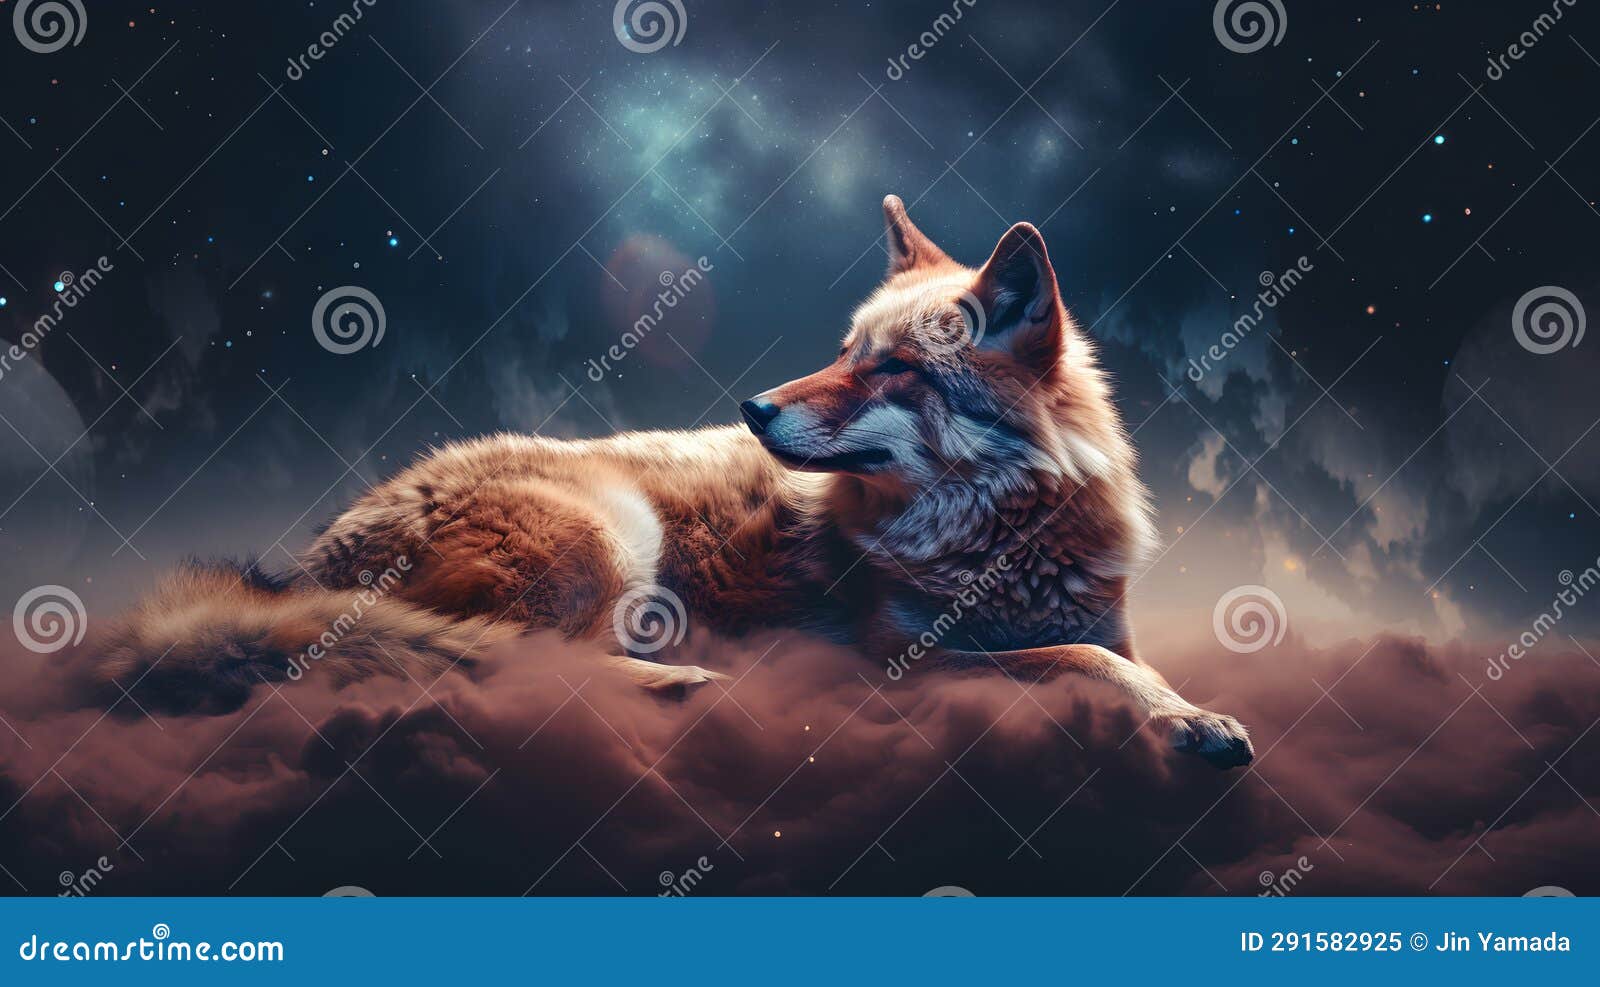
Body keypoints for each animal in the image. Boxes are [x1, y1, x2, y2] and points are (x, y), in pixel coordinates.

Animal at [97, 196, 1253, 768]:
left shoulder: (1104, 621)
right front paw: (1189, 724)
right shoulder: (901, 663)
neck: (1001, 539)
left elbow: (1121, 661)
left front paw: (1190, 710)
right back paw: (675, 683)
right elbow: (1079, 665)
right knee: (506, 667)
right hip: (612, 543)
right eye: (842, 352)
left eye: (891, 369)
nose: (753, 408)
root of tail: (308, 566)